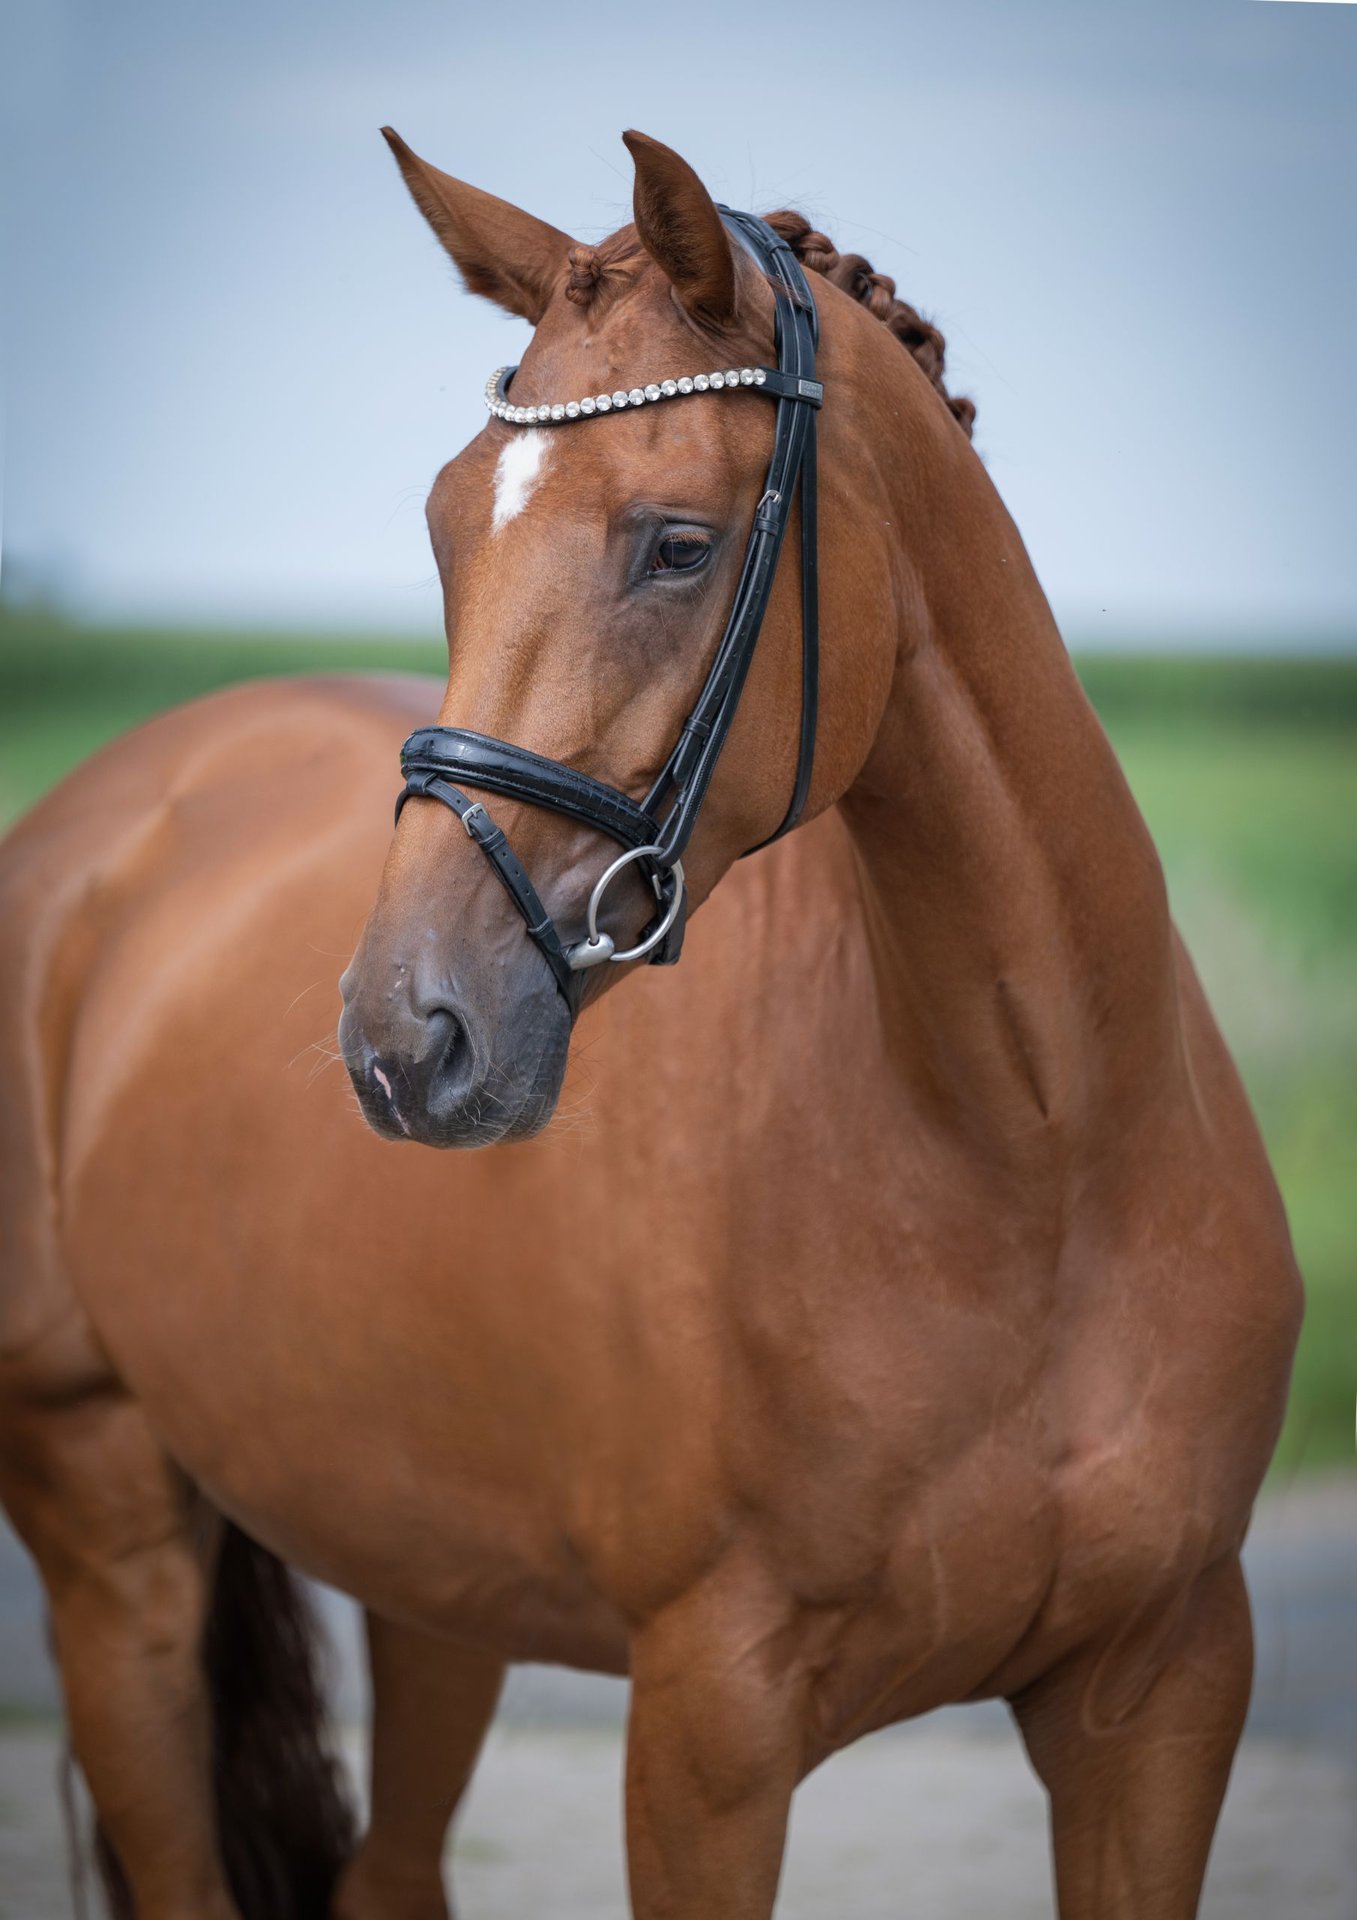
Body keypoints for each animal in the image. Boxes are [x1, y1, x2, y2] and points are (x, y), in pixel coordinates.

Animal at [0, 128, 1301, 1919]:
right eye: (444, 531)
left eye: (678, 544)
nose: (407, 1040)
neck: (1041, 1158)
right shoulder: (709, 1738)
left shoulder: (1162, 1695)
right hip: (106, 1532)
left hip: (427, 1578)